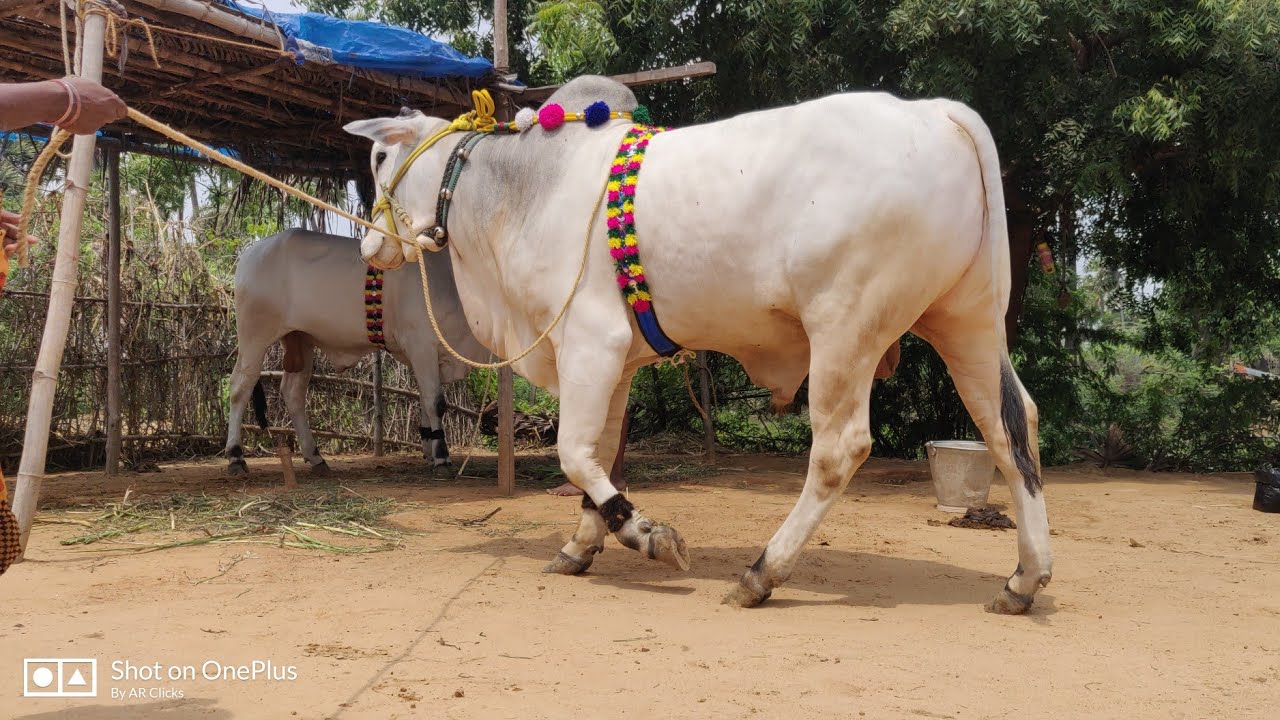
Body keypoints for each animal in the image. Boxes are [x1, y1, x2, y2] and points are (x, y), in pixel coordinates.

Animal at [223, 228, 487, 476]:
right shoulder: (421, 344)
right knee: (239, 387)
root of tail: (251, 253)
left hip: (301, 341)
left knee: (293, 393)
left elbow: (425, 401)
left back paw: (315, 457)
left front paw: (430, 454)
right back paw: (236, 456)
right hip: (254, 337)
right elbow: (436, 402)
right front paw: (442, 458)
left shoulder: (429, 356)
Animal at [343, 76, 1053, 614]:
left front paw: (646, 533)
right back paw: (1023, 579)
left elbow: (573, 451)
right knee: (1011, 425)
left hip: (845, 330)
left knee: (840, 448)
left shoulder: (590, 342)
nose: (370, 245)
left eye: (378, 161)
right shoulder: (616, 361)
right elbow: (599, 451)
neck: (516, 191)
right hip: (966, 321)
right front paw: (582, 545)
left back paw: (762, 573)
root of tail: (938, 111)